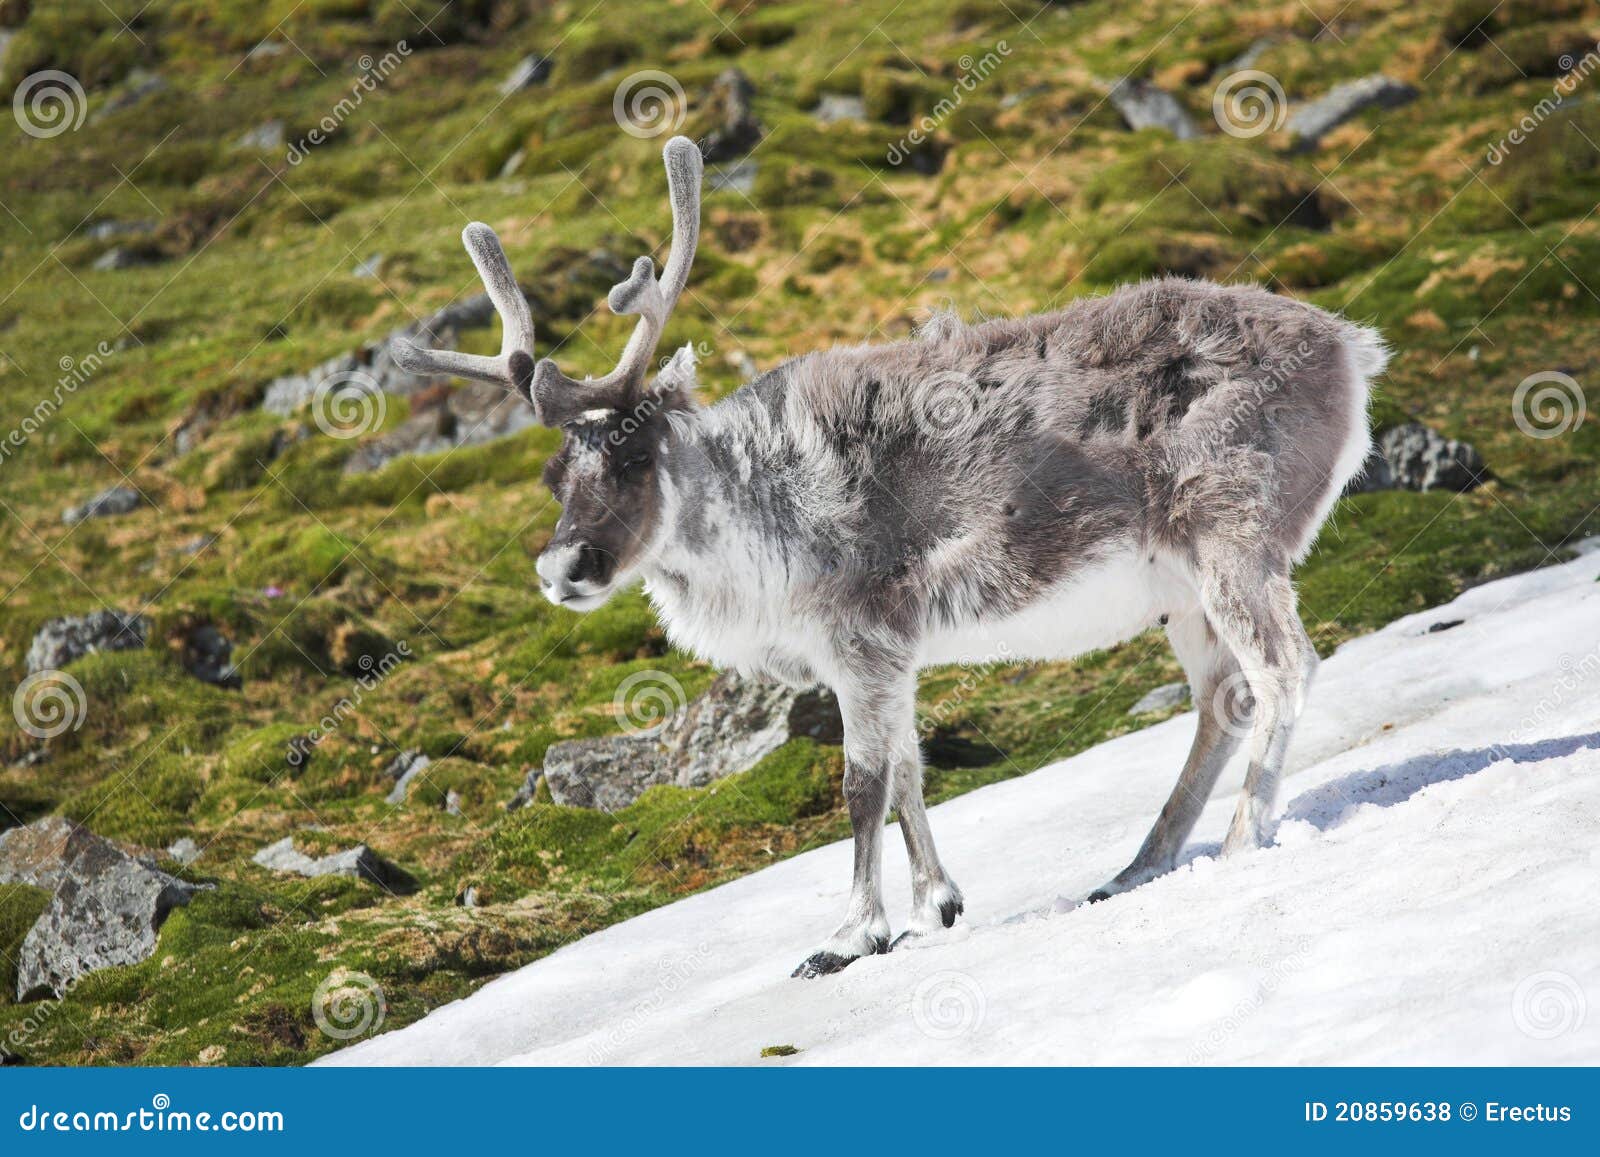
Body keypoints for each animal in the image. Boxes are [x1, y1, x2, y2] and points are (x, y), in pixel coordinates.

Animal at [394, 136, 1387, 978]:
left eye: (636, 455)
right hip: (1181, 591)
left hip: (1232, 535)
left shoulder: (863, 640)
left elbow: (861, 783)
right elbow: (910, 767)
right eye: (554, 473)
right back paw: (1137, 865)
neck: (758, 530)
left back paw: (1240, 840)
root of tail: (1350, 345)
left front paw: (850, 933)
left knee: (1284, 669)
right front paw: (933, 903)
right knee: (1223, 698)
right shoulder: (886, 658)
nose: (562, 569)